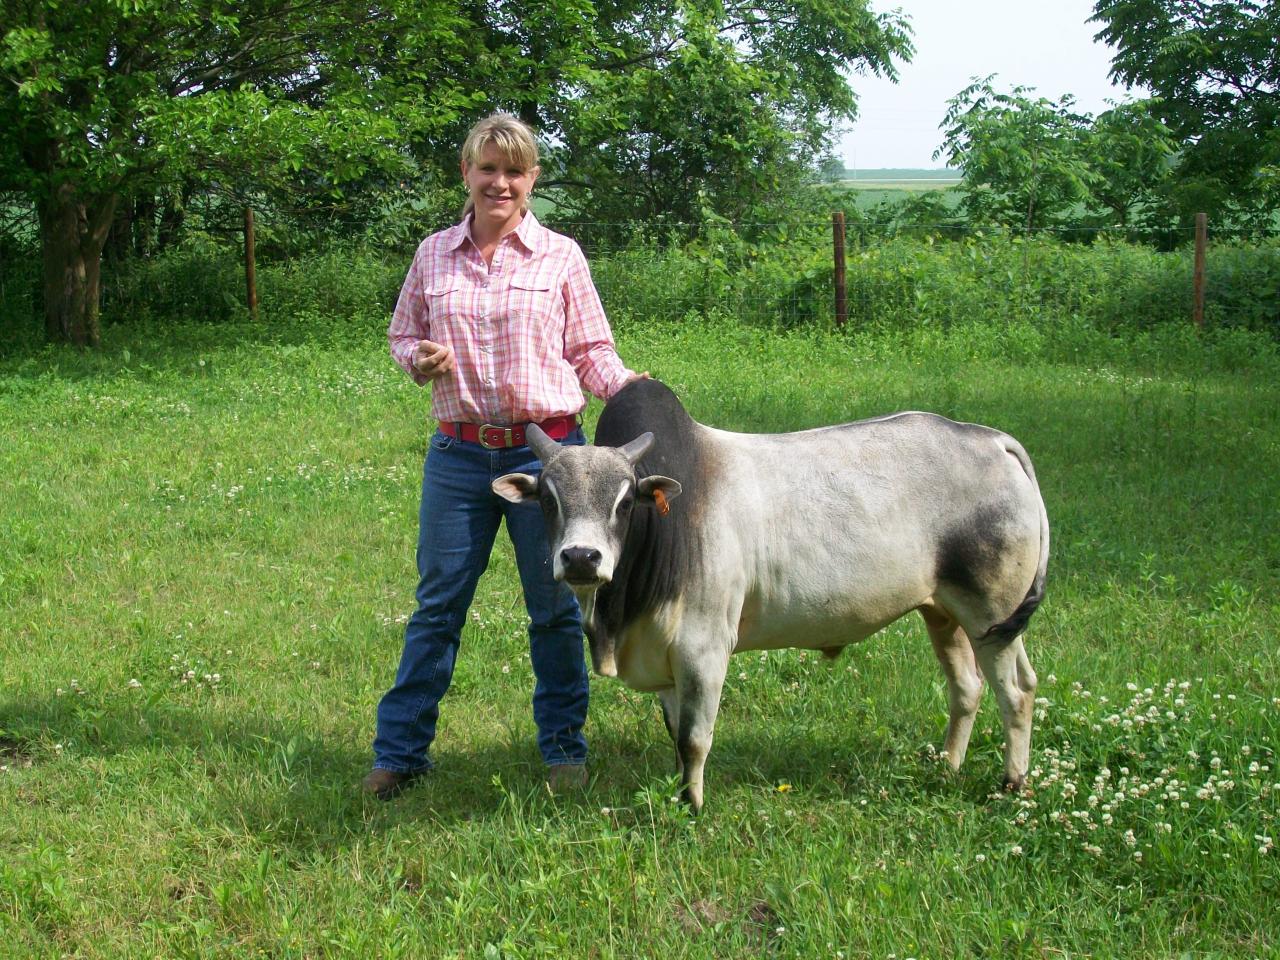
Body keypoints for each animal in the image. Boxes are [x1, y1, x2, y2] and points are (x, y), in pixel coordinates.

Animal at [492, 379, 1049, 812]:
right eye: (549, 499)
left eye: (625, 500)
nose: (581, 558)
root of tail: (993, 441)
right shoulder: (667, 659)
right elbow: (675, 734)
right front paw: (678, 794)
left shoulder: (704, 650)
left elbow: (694, 739)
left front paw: (693, 807)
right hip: (943, 613)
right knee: (967, 688)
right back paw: (949, 765)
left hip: (992, 616)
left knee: (1018, 692)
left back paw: (1013, 783)